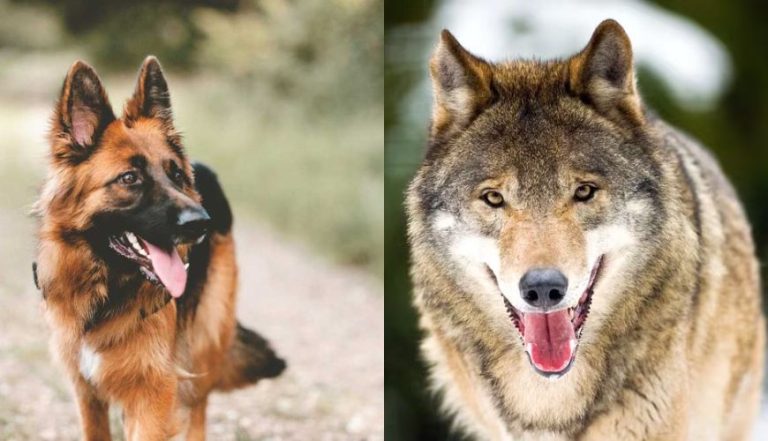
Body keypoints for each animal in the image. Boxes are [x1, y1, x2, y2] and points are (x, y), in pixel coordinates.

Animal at [35, 56, 285, 440]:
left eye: (176, 175)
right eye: (129, 178)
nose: (201, 223)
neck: (107, 294)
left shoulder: (154, 393)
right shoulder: (87, 392)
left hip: (202, 341)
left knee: (198, 407)